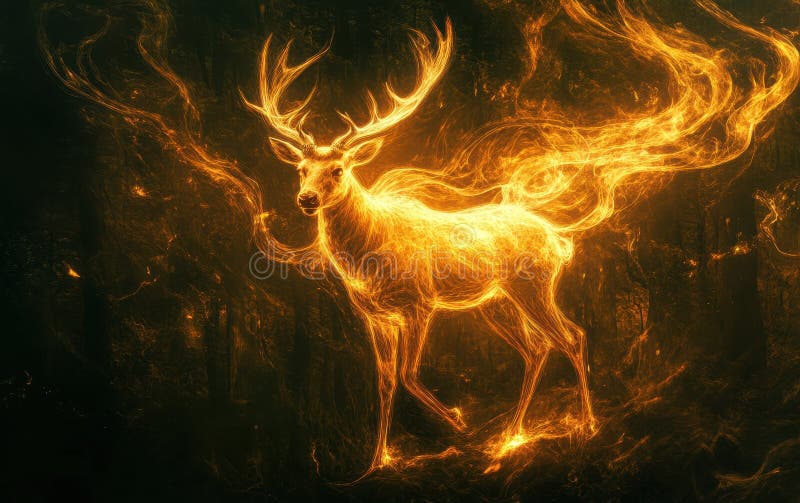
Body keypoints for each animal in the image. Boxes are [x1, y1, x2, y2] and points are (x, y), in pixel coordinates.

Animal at [245, 19, 595, 473]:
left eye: (338, 169)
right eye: (302, 169)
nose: (306, 199)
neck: (368, 258)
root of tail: (559, 238)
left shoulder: (418, 302)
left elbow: (408, 373)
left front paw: (460, 421)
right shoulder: (374, 316)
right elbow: (384, 381)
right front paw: (377, 459)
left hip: (534, 284)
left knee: (572, 336)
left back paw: (587, 425)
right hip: (496, 301)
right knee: (536, 348)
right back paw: (510, 435)